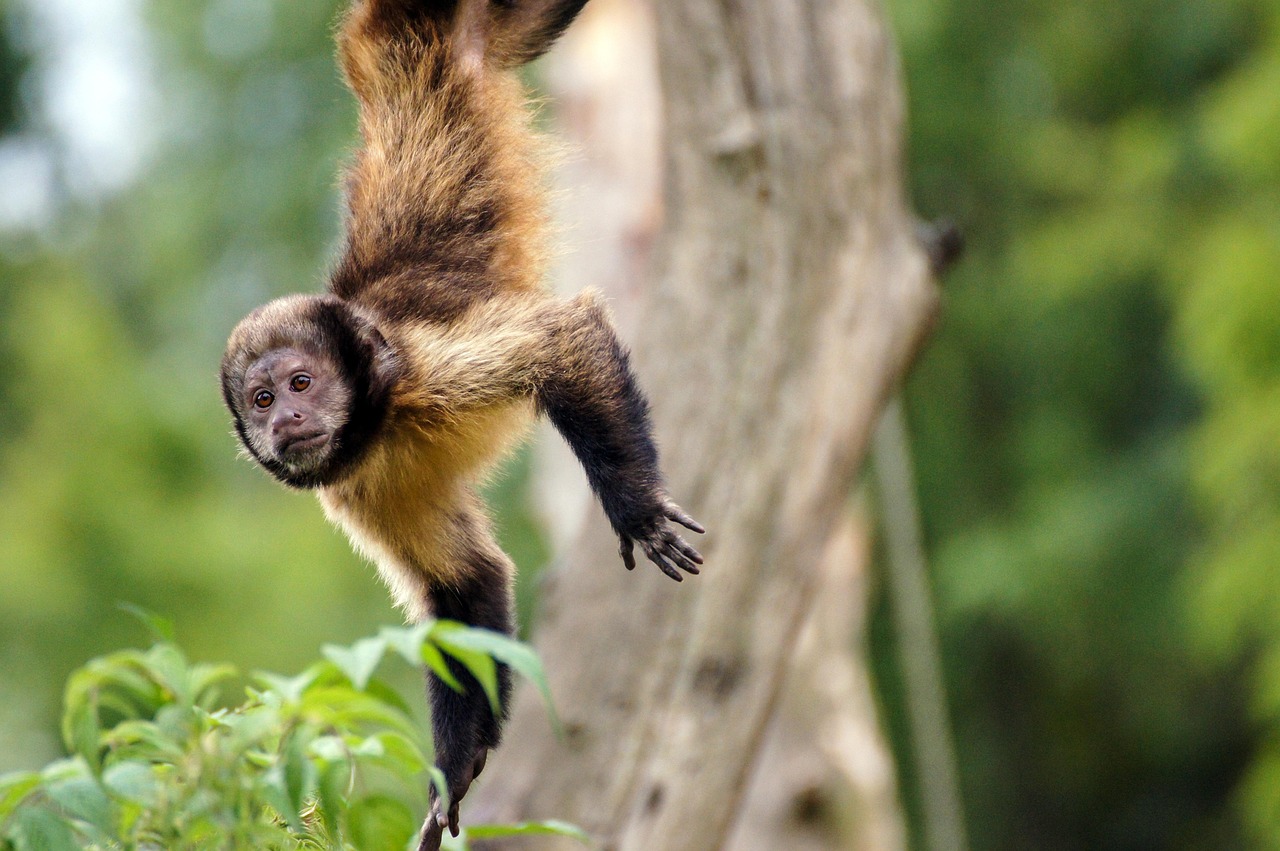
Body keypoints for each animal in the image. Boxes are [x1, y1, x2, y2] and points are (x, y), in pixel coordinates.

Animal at [218, 1, 704, 847]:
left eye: (300, 383)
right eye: (262, 401)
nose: (290, 421)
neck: (376, 421)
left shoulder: (417, 367)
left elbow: (566, 338)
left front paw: (637, 508)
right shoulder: (350, 488)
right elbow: (466, 581)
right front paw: (459, 766)